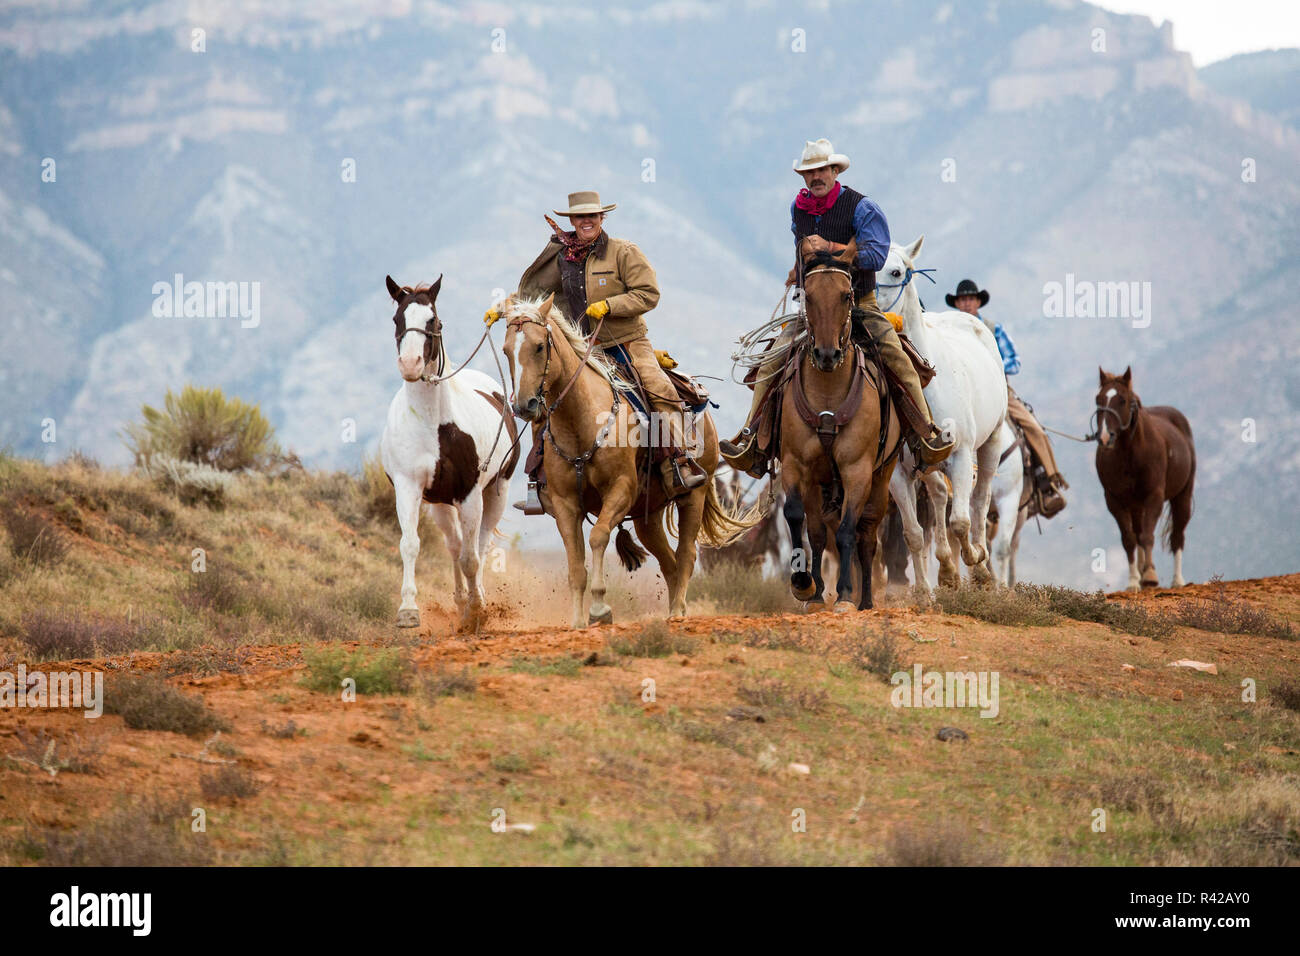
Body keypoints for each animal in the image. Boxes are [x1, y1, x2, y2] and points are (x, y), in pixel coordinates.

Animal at [378, 275, 519, 633]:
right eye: (397, 319)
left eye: (434, 321)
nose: (410, 365)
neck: (433, 424)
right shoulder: (409, 487)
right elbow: (410, 545)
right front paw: (408, 611)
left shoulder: (470, 494)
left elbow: (473, 558)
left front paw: (477, 610)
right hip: (440, 504)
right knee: (455, 546)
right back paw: (459, 601)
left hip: (496, 492)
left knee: (478, 547)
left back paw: (476, 601)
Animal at [501, 293, 753, 627]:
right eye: (506, 350)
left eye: (540, 346)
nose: (524, 405)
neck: (582, 422)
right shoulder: (565, 504)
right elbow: (575, 564)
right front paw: (577, 621)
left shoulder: (620, 489)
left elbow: (598, 537)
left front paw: (599, 609)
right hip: (649, 515)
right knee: (669, 562)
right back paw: (674, 609)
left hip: (694, 494)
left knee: (686, 555)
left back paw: (677, 612)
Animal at [779, 241, 903, 611]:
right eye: (808, 296)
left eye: (847, 295)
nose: (827, 355)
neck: (828, 396)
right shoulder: (795, 464)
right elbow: (798, 518)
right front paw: (804, 584)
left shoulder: (856, 469)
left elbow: (849, 531)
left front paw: (846, 594)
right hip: (821, 484)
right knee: (820, 532)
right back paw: (820, 592)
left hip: (881, 479)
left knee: (866, 537)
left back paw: (865, 600)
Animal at [880, 236, 1008, 595]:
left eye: (896, 271)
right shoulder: (898, 473)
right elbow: (912, 533)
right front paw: (925, 592)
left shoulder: (962, 455)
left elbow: (960, 522)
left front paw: (976, 565)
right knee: (937, 496)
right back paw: (946, 570)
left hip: (992, 443)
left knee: (979, 501)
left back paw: (979, 566)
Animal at [1094, 366, 1195, 590]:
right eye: (1098, 400)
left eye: (1122, 400)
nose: (1105, 437)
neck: (1130, 455)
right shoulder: (1115, 500)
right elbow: (1129, 539)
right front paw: (1134, 581)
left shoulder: (1154, 496)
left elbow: (1147, 536)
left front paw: (1149, 575)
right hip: (1136, 506)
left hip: (1182, 495)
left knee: (1177, 535)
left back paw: (1177, 580)